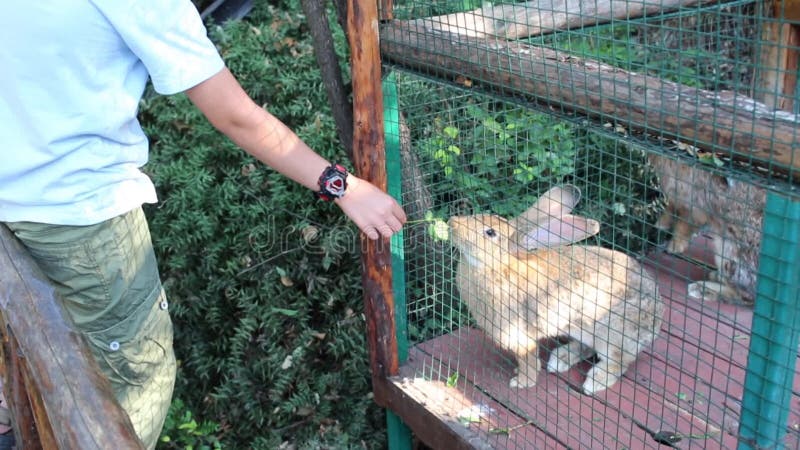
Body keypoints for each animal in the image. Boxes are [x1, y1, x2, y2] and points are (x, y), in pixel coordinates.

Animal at [448, 185, 664, 394]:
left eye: (490, 232)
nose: (452, 223)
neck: (496, 266)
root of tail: (658, 314)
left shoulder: (520, 335)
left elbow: (528, 361)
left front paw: (522, 382)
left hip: (612, 335)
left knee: (617, 363)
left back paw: (593, 382)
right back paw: (559, 360)